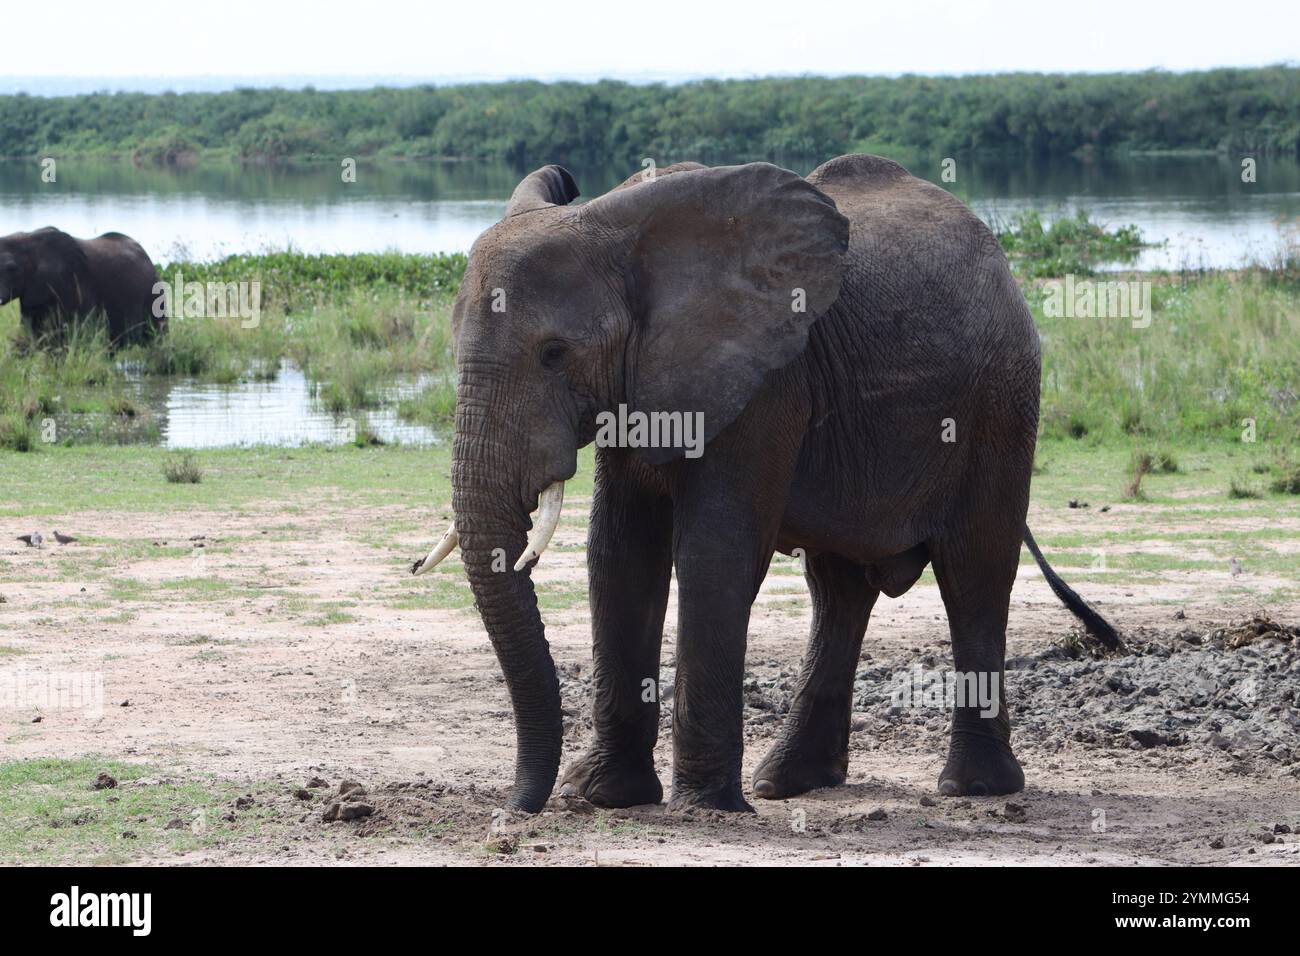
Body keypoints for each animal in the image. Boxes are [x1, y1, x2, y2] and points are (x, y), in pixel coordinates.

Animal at [411, 154, 1121, 814]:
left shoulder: (765, 380)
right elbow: (619, 553)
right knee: (839, 591)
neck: (621, 227)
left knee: (974, 572)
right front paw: (605, 796)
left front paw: (702, 807)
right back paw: (789, 782)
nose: (517, 808)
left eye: (555, 353)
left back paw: (971, 788)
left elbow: (713, 551)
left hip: (1000, 404)